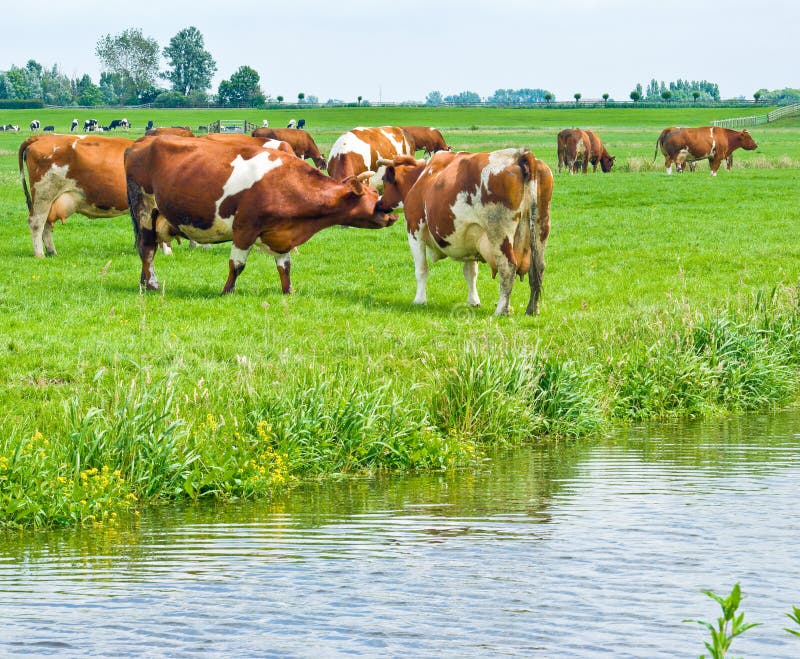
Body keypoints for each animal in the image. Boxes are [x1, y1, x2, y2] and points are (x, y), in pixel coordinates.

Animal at [18, 134, 175, 258]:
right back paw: (40, 254)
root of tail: (41, 137)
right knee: (36, 222)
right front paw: (167, 252)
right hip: (43, 194)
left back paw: (52, 252)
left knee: (46, 224)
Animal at [125, 136, 397, 295]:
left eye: (376, 192)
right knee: (147, 249)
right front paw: (226, 292)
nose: (392, 216)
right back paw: (151, 284)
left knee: (147, 249)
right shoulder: (245, 228)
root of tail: (137, 144)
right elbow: (237, 265)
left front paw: (289, 292)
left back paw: (143, 282)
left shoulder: (281, 234)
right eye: (372, 199)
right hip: (145, 210)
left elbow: (285, 267)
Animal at [375, 148, 553, 316]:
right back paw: (532, 309)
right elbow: (470, 273)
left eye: (384, 181)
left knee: (508, 268)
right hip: (540, 228)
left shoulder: (414, 230)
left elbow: (421, 270)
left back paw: (501, 310)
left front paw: (419, 300)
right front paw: (473, 301)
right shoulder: (471, 235)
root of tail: (520, 155)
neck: (420, 179)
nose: (378, 204)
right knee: (538, 268)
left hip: (499, 233)